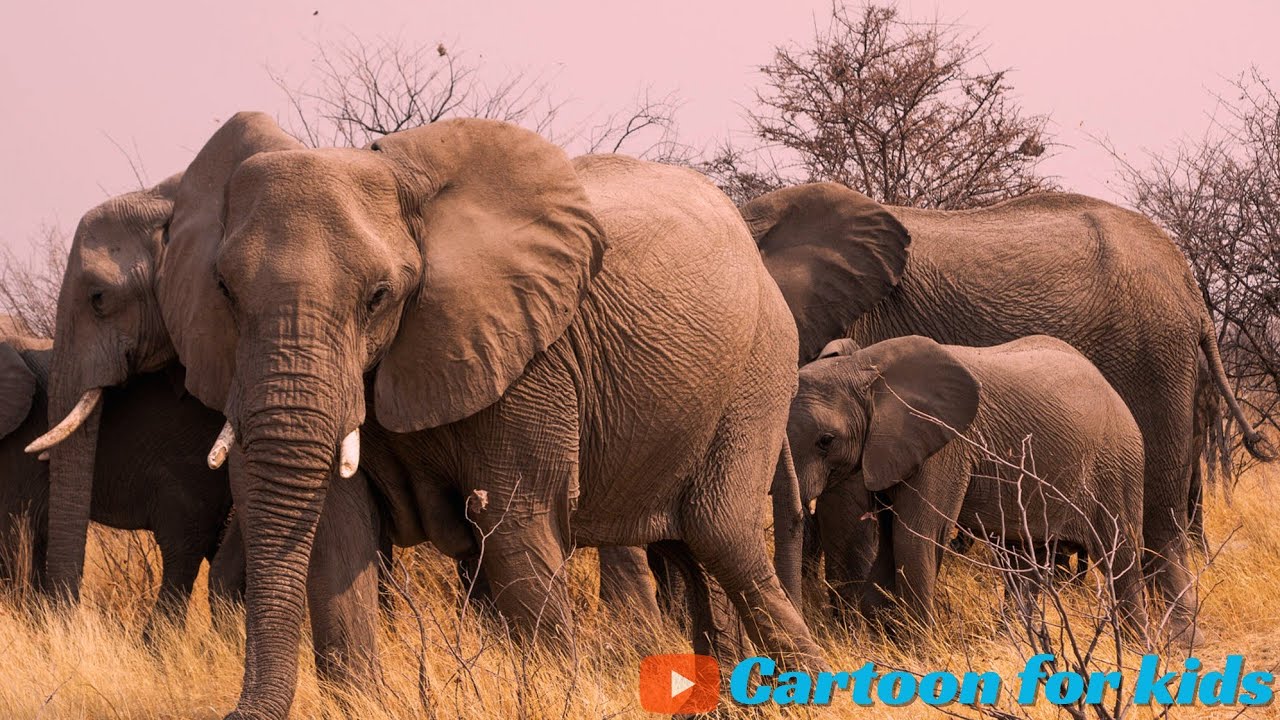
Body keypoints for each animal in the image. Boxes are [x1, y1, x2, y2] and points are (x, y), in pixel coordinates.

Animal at [141, 112, 881, 719]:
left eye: (379, 296)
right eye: (224, 291)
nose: (230, 713)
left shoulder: (531, 361)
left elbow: (519, 527)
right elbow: (336, 533)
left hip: (758, 375)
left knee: (722, 536)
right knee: (688, 547)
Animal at [787, 335, 1150, 639]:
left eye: (826, 441)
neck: (862, 365)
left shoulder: (946, 449)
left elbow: (915, 537)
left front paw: (918, 650)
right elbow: (891, 542)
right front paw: (881, 639)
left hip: (1117, 467)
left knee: (1121, 563)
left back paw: (1136, 646)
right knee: (1025, 562)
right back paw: (1013, 643)